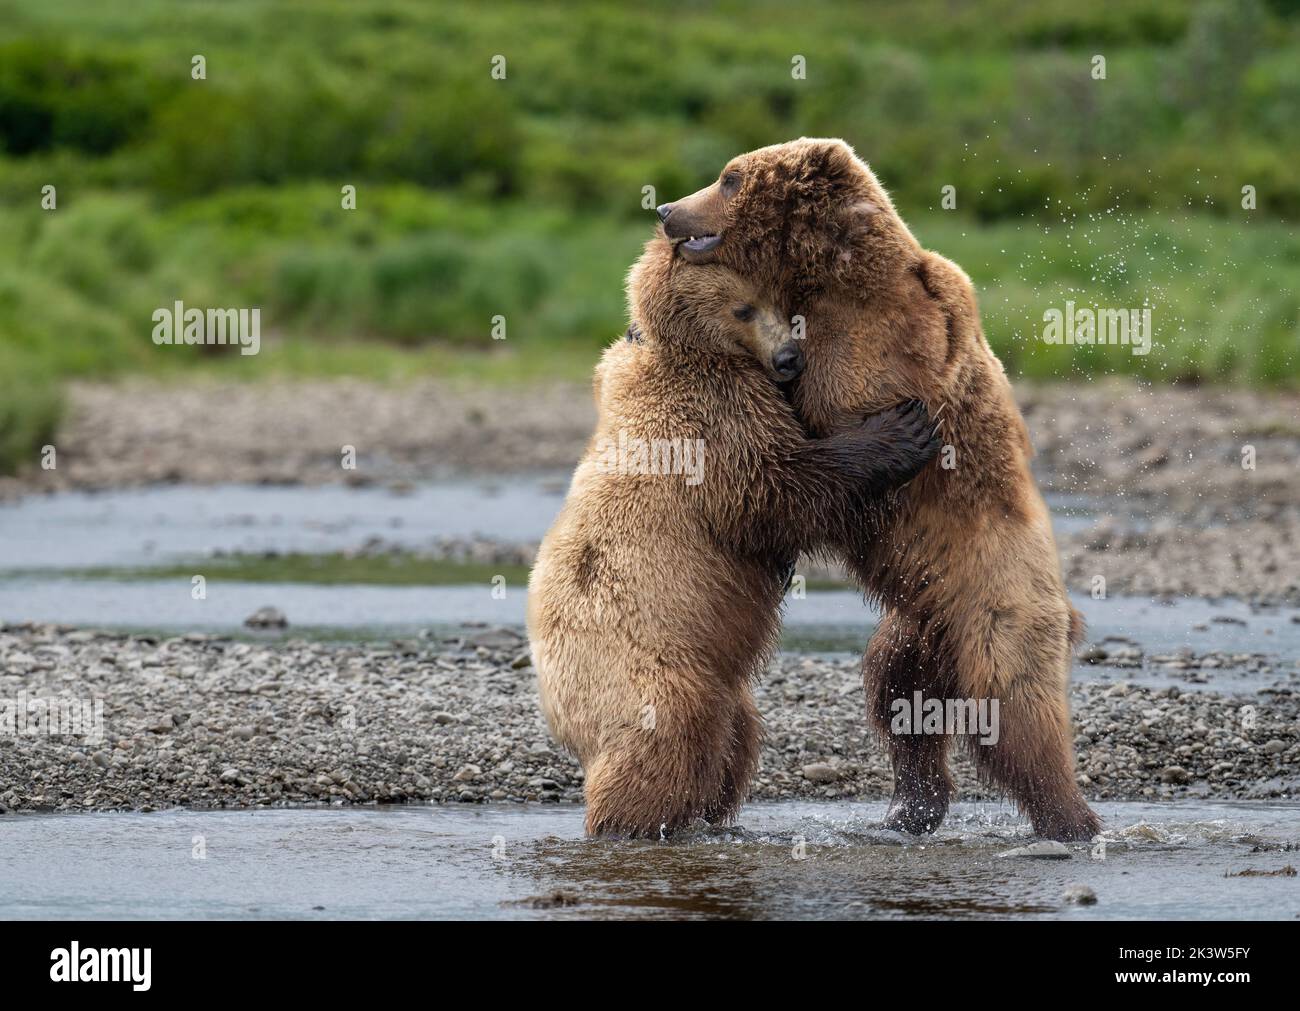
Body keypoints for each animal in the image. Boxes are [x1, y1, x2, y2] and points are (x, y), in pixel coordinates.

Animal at [527, 234, 940, 838]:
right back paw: (629, 821)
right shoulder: (708, 418)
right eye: (744, 307)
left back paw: (708, 811)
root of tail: (557, 712)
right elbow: (776, 488)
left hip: (715, 681)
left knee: (734, 736)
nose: (791, 359)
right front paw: (902, 430)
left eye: (786, 302)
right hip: (638, 667)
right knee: (669, 734)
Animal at [654, 137, 1101, 841]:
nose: (668, 208)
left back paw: (1072, 819)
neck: (829, 273)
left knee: (1019, 715)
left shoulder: (880, 336)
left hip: (1000, 609)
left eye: (728, 179)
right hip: (914, 632)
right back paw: (908, 808)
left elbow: (840, 398)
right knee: (901, 704)